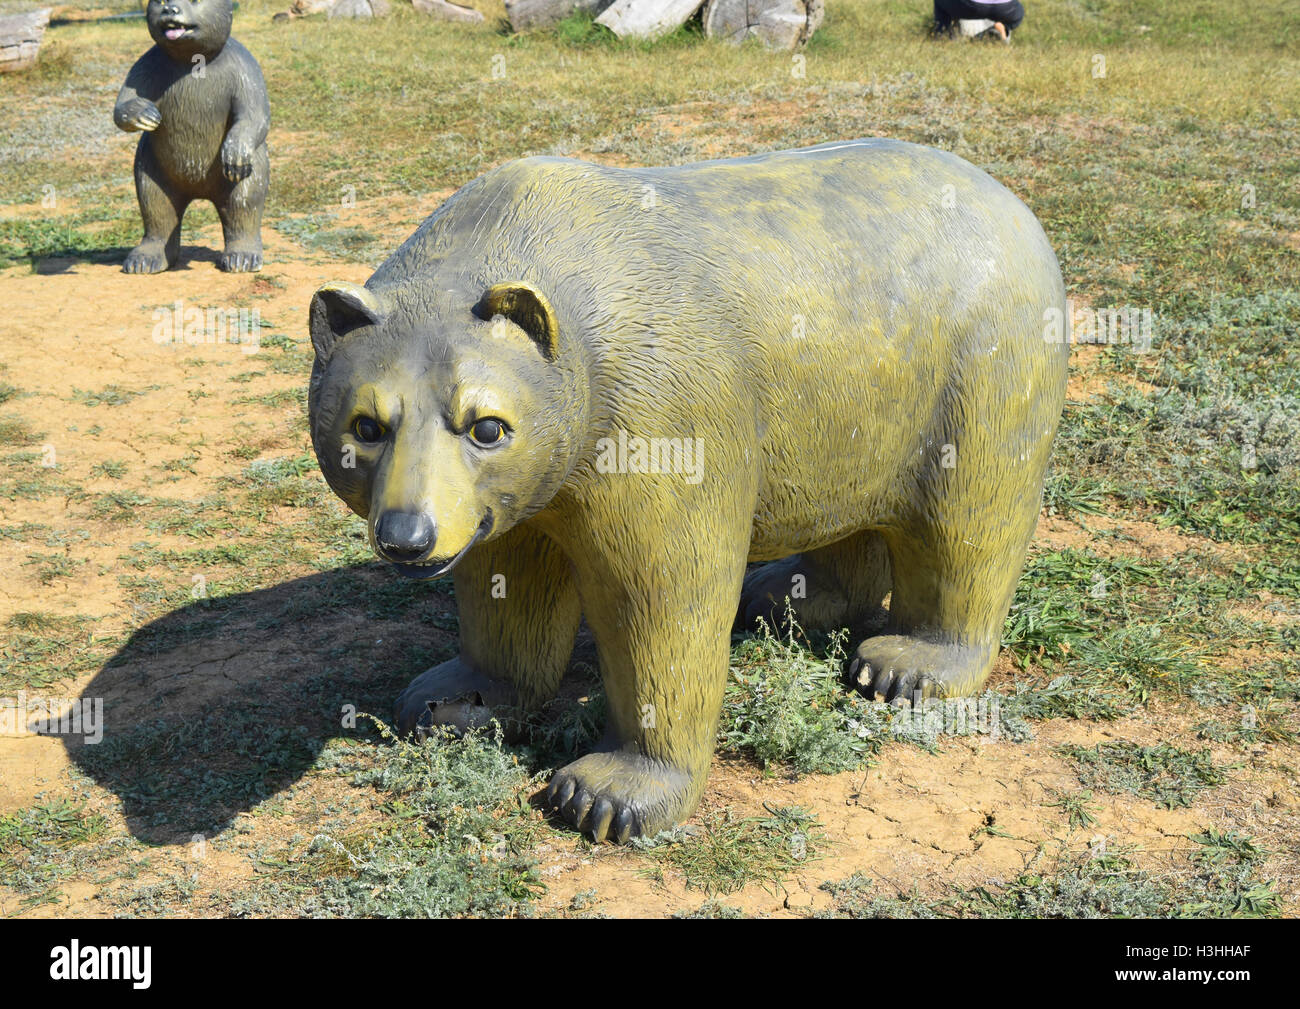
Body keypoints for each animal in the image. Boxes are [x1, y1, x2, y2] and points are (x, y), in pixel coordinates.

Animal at [113, 0, 269, 273]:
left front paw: (234, 153)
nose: (171, 9)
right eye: (160, 2)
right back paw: (145, 259)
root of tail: (200, 191)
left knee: (244, 201)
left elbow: (255, 114)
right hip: (151, 166)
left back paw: (242, 257)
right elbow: (122, 104)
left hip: (251, 167)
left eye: (196, 1)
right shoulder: (146, 63)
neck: (193, 60)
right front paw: (144, 114)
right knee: (156, 207)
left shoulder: (244, 67)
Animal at [307, 138, 1069, 843]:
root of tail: (1010, 199)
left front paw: (604, 793)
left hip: (981, 364)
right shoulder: (523, 487)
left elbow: (660, 597)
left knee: (968, 518)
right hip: (857, 387)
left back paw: (905, 664)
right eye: (366, 424)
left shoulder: (656, 410)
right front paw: (448, 699)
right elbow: (508, 577)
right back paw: (784, 596)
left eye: (486, 425)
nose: (407, 537)